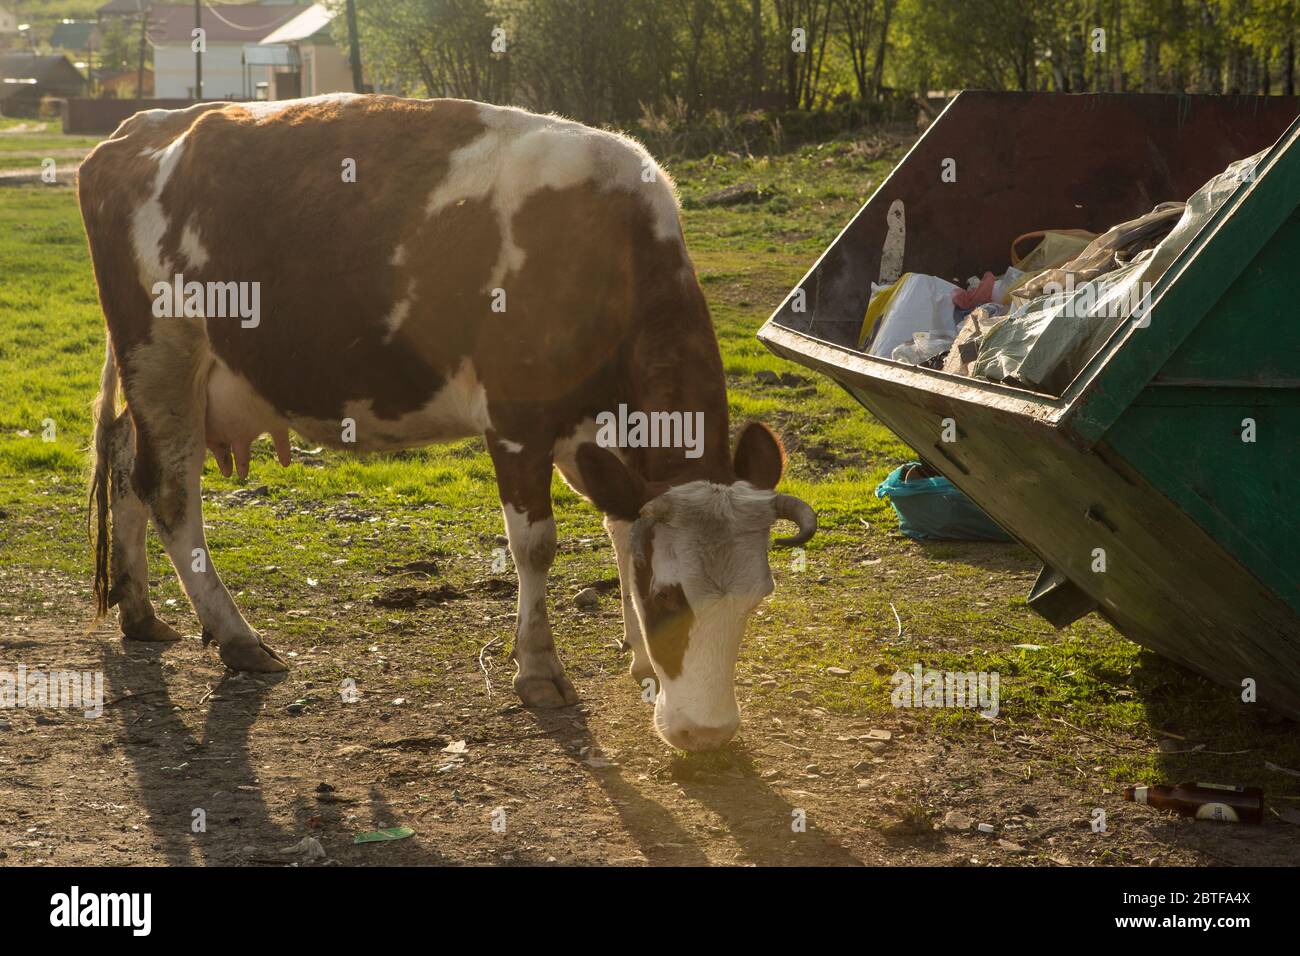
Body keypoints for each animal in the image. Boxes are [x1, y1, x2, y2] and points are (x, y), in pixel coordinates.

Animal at [80, 94, 816, 752]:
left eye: (756, 600)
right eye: (668, 598)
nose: (707, 735)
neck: (608, 246)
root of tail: (141, 127)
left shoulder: (602, 440)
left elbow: (621, 525)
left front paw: (638, 660)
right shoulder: (517, 419)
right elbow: (536, 546)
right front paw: (540, 669)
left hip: (159, 376)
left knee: (125, 464)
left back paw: (140, 612)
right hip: (164, 351)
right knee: (170, 491)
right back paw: (237, 637)